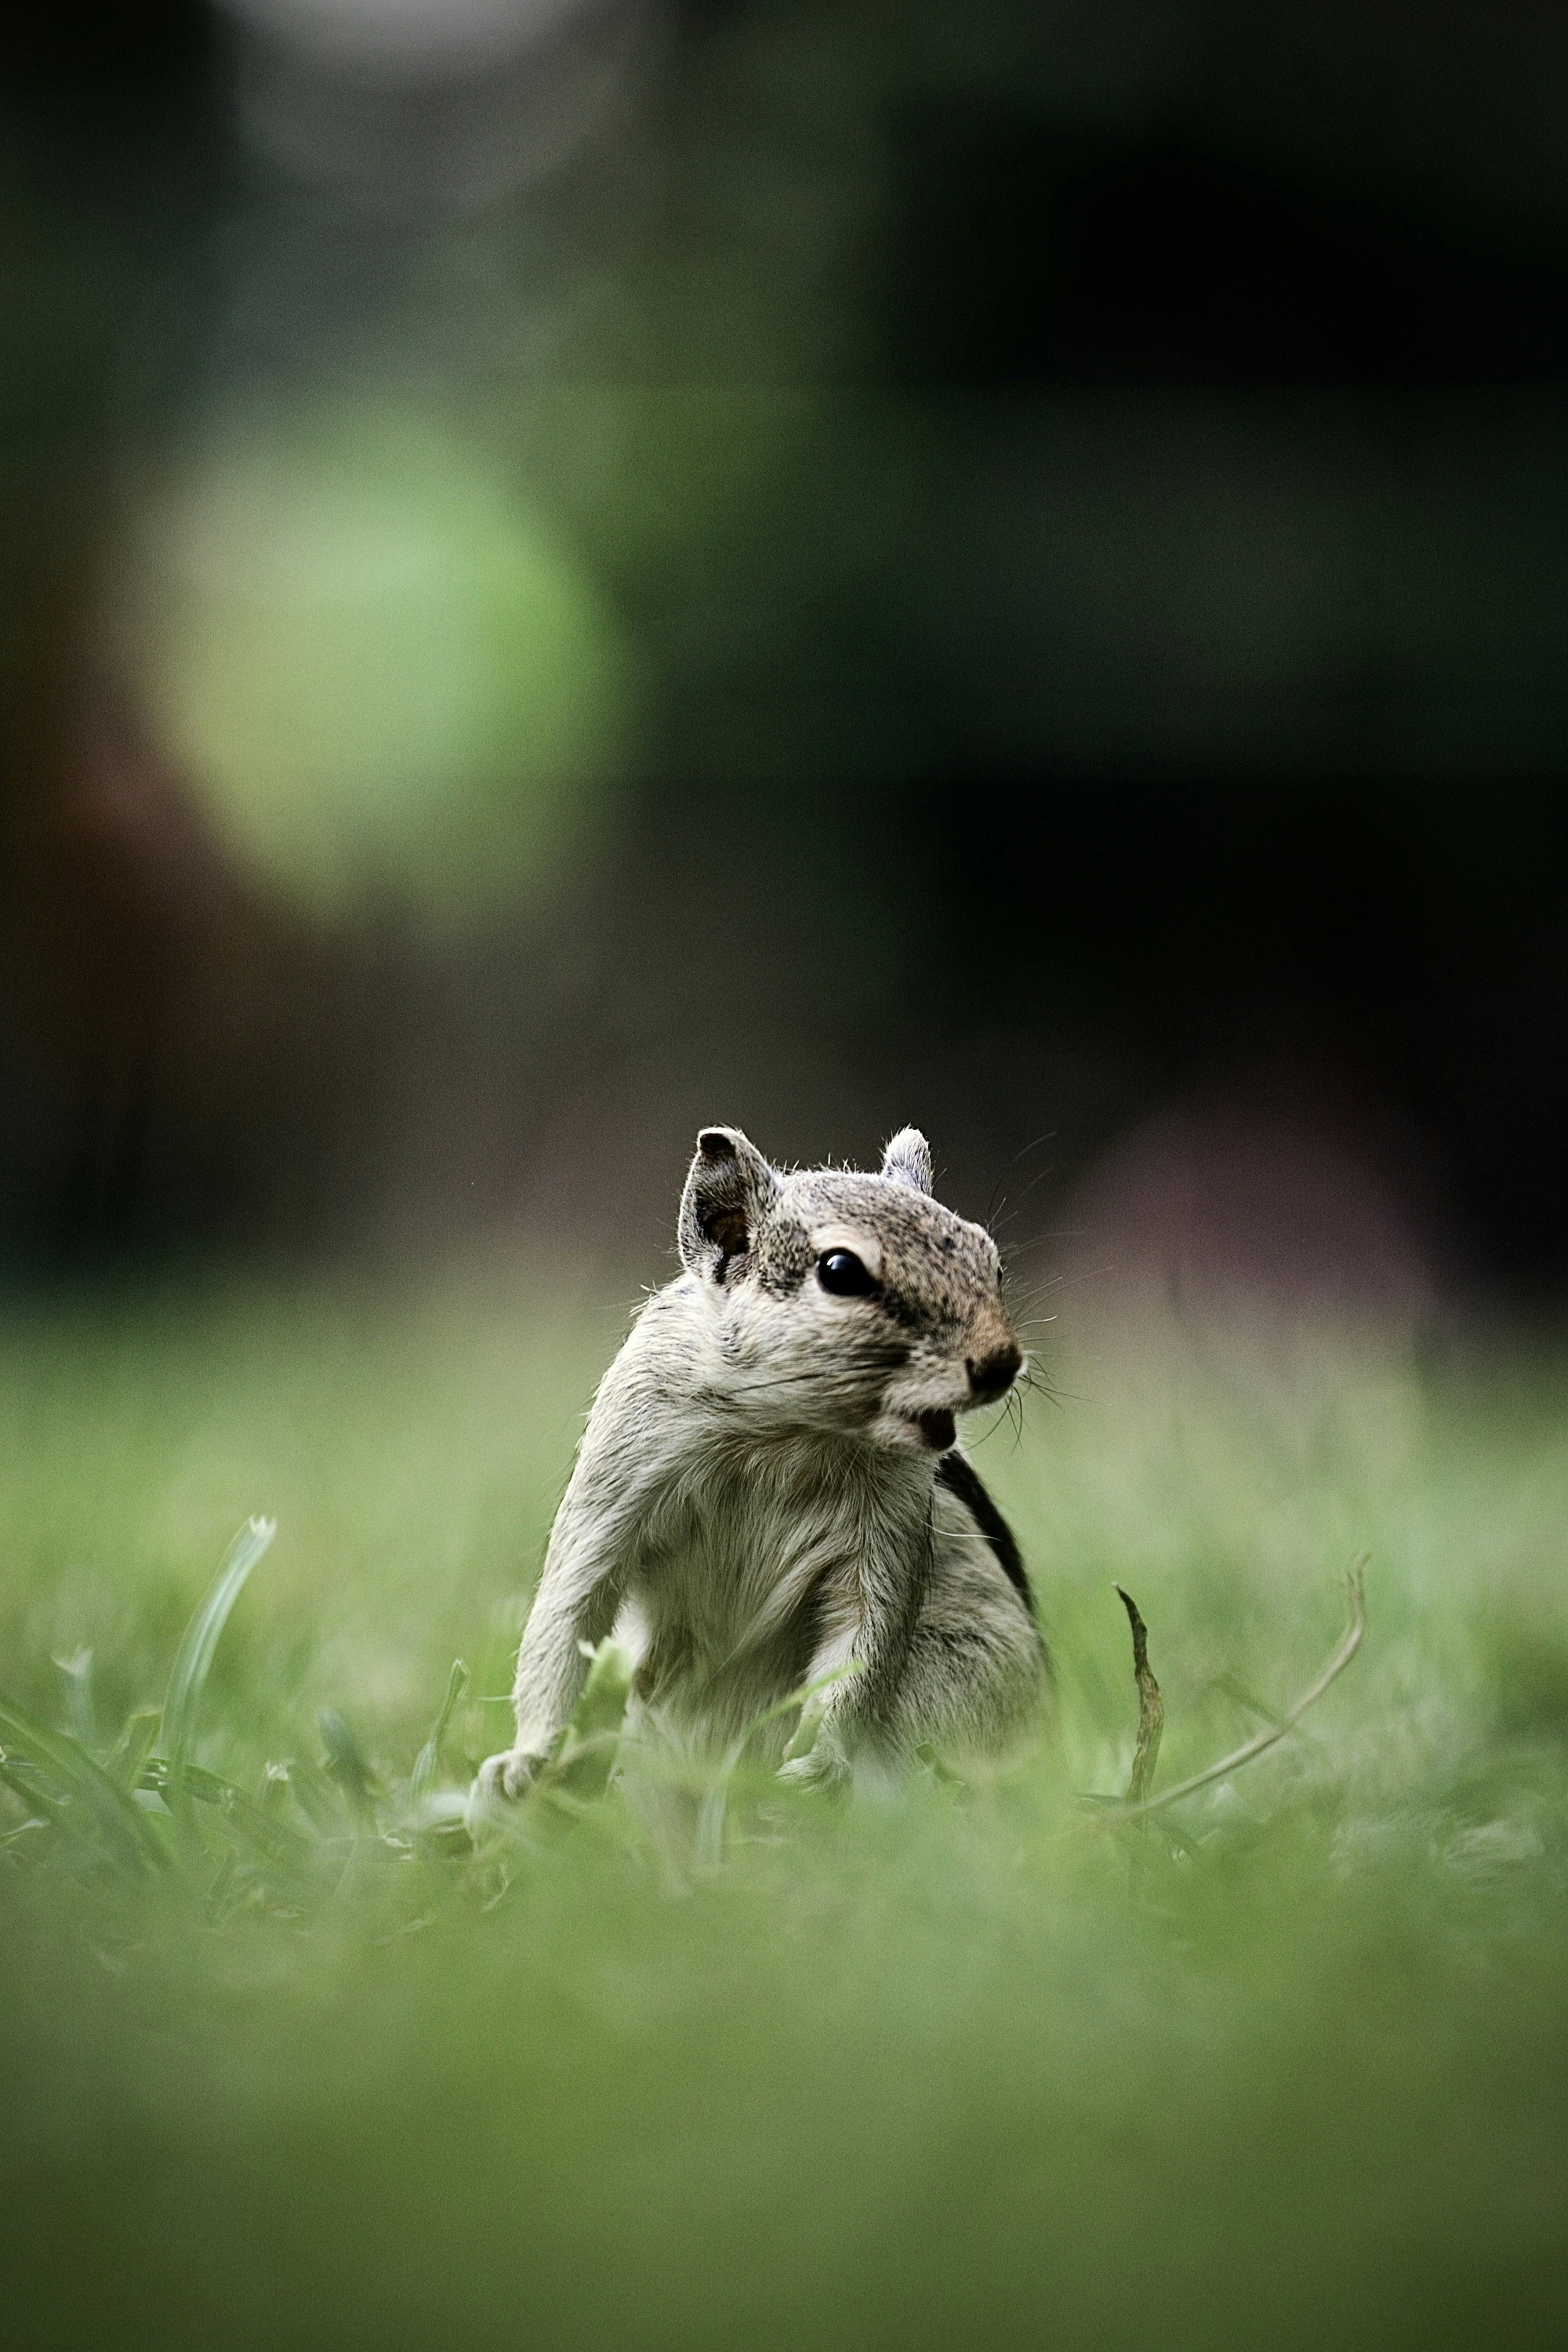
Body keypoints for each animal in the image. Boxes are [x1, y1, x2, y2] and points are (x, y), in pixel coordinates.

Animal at [471, 1124, 1049, 1812]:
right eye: (840, 1270)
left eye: (992, 1260)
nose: (1000, 1362)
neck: (783, 1430)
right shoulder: (622, 1469)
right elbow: (568, 1611)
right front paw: (525, 1763)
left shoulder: (890, 1524)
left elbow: (865, 1641)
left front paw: (820, 1767)